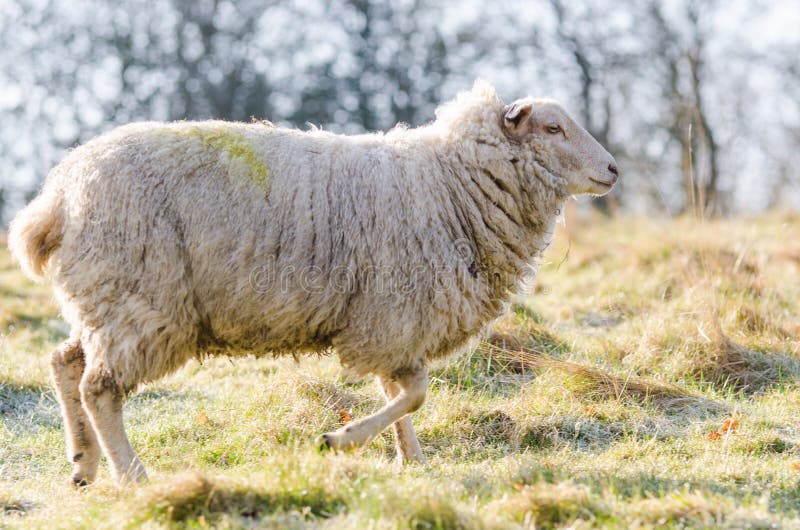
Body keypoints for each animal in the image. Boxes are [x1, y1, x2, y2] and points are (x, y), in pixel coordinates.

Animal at [8, 81, 618, 485]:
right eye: (553, 127)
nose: (613, 170)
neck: (451, 181)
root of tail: (55, 199)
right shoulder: (393, 312)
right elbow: (413, 395)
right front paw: (340, 441)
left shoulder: (390, 320)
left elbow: (402, 395)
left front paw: (411, 461)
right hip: (141, 299)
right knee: (99, 388)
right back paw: (132, 474)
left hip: (108, 299)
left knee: (66, 363)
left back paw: (84, 465)